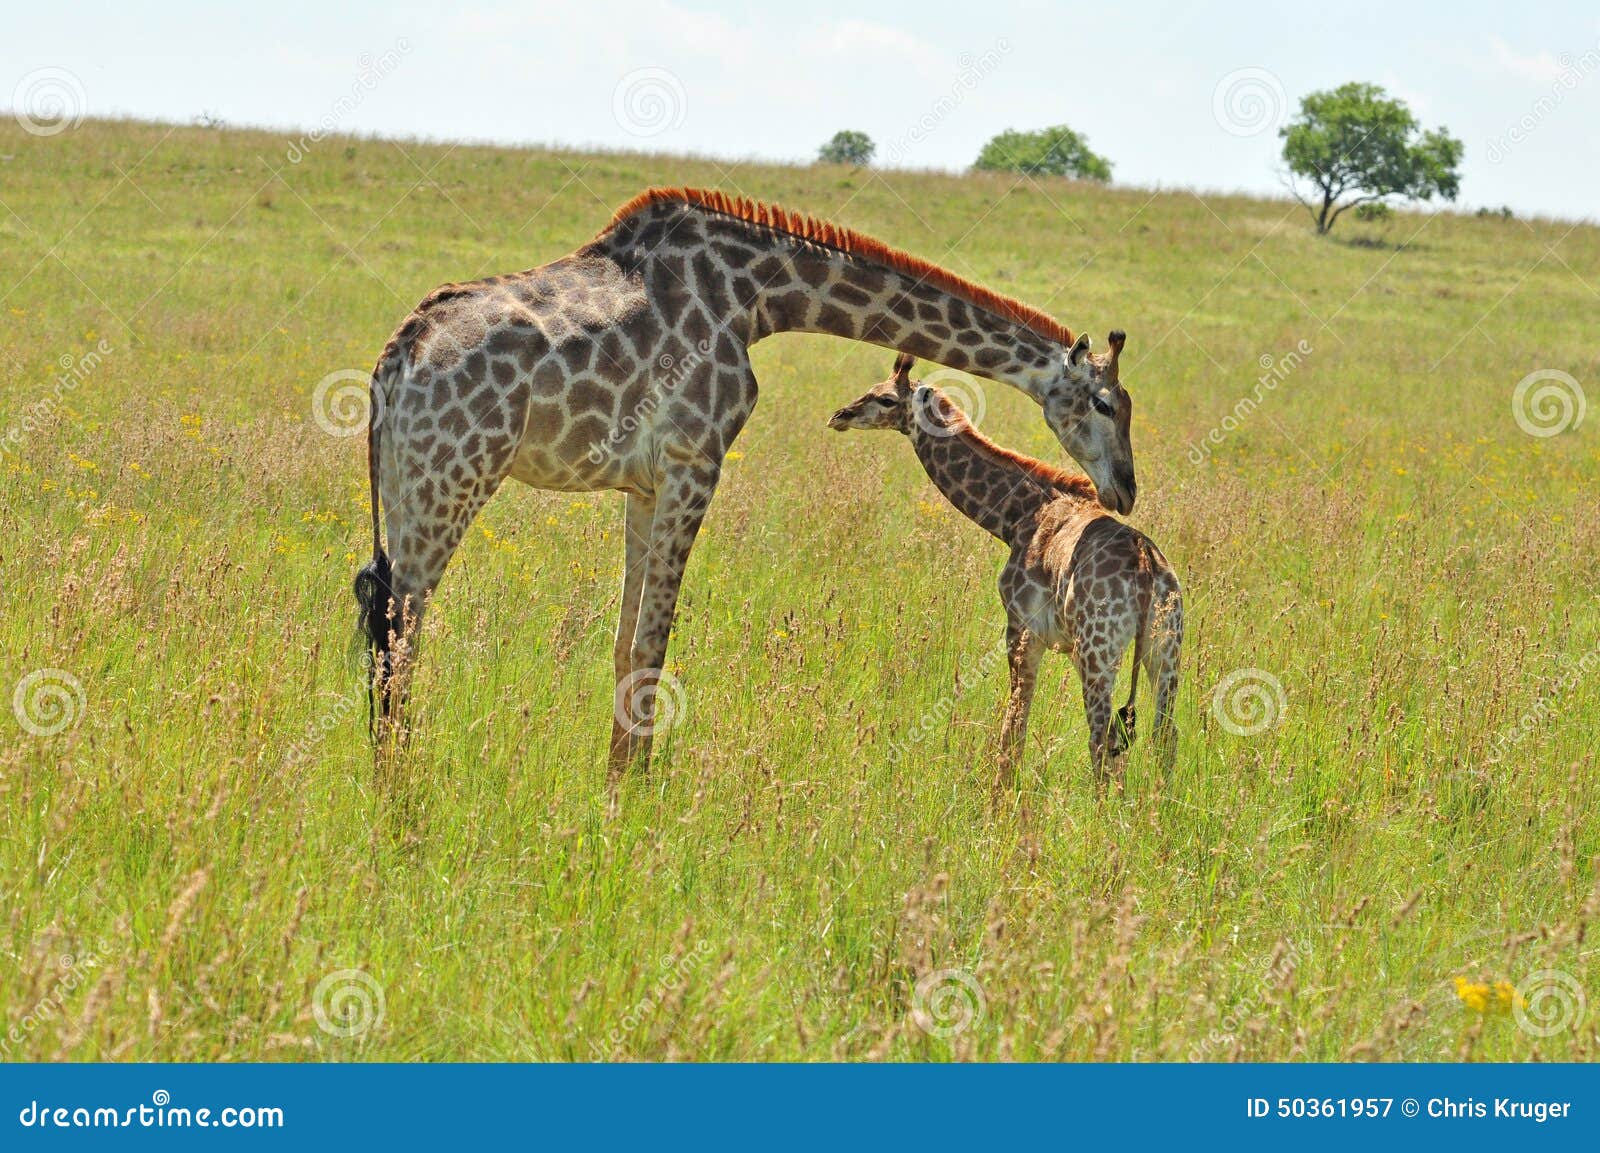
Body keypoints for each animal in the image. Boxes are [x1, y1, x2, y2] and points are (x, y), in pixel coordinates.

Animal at [353, 187, 1139, 772]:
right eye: (1105, 403)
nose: (1125, 491)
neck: (757, 296)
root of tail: (397, 352)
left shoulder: (645, 485)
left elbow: (625, 644)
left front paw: (616, 784)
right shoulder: (695, 462)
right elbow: (654, 645)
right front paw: (633, 805)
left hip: (406, 485)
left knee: (379, 617)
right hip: (454, 475)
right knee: (401, 630)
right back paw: (401, 798)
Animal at [827, 353, 1182, 790]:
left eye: (886, 399)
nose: (840, 416)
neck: (1015, 515)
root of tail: (1147, 569)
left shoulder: (1022, 631)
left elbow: (1013, 726)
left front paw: (1000, 798)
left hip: (1100, 649)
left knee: (1102, 739)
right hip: (1163, 646)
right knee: (1163, 735)